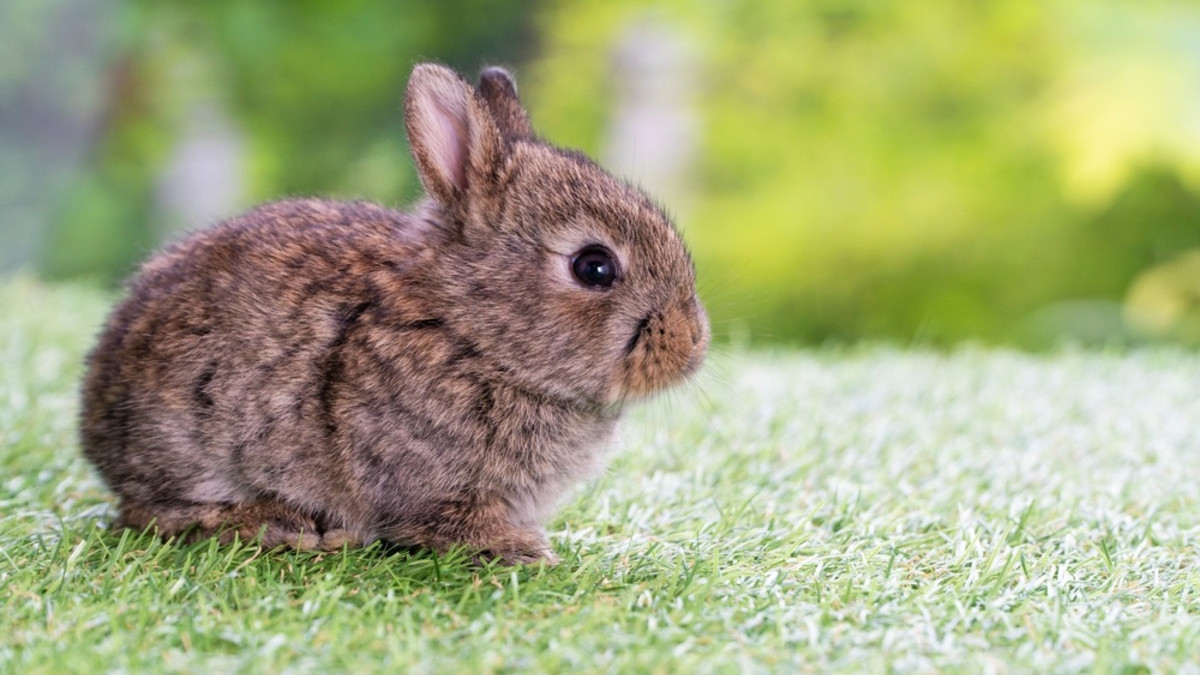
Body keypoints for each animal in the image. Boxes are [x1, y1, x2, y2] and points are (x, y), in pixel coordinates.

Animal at [80, 63, 709, 565]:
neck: (469, 330)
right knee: (157, 516)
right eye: (594, 267)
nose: (692, 345)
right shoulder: (431, 485)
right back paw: (284, 525)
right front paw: (523, 551)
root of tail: (94, 419)